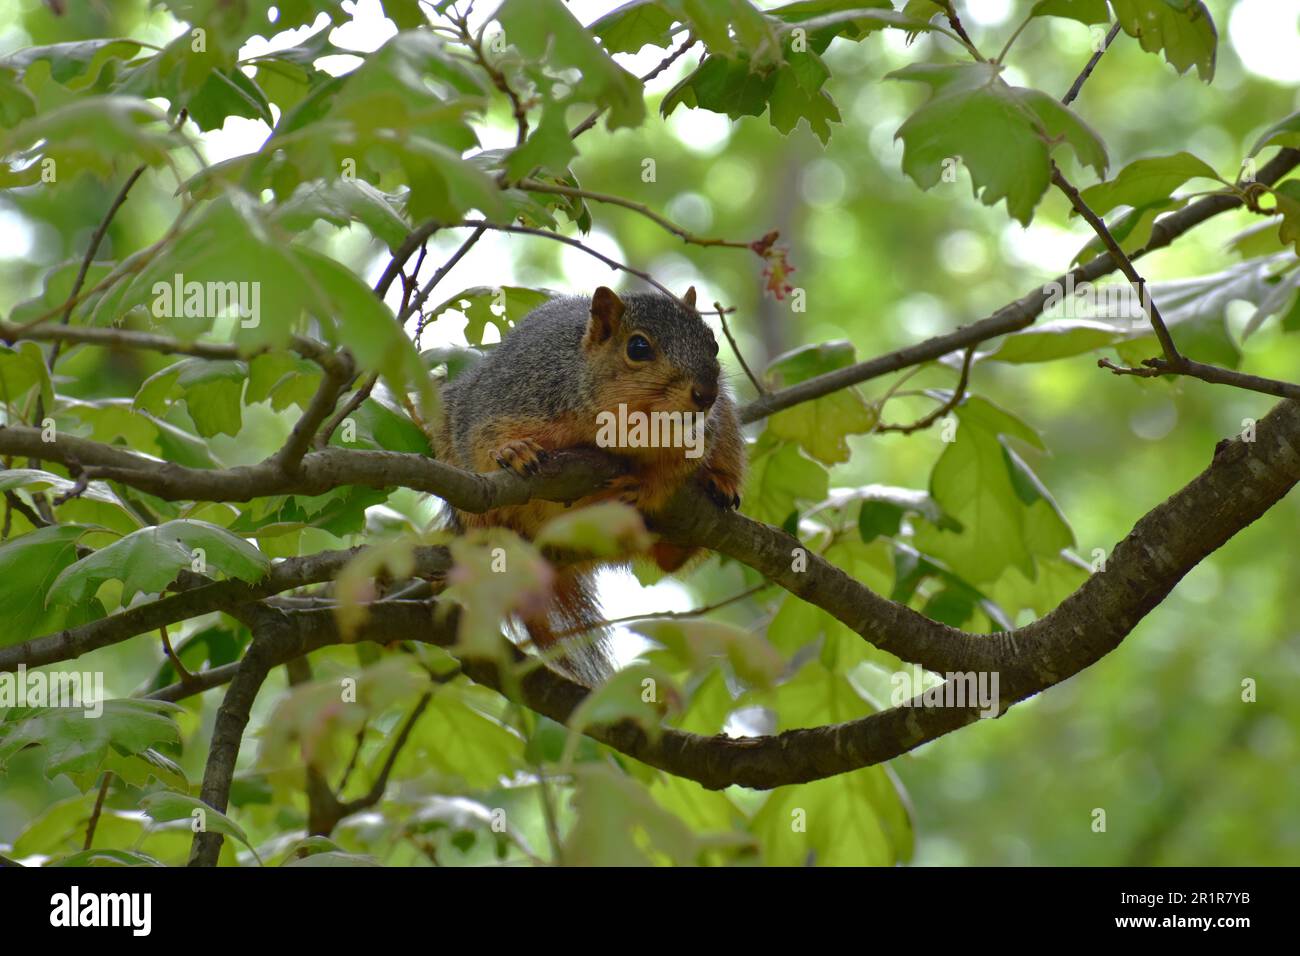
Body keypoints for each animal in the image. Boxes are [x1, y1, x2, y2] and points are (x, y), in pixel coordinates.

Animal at [435, 286, 746, 681]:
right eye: (638, 347)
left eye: (714, 344)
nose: (706, 394)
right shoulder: (507, 399)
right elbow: (483, 440)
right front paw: (513, 450)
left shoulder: (699, 434)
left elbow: (672, 474)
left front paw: (645, 487)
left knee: (668, 560)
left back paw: (700, 511)